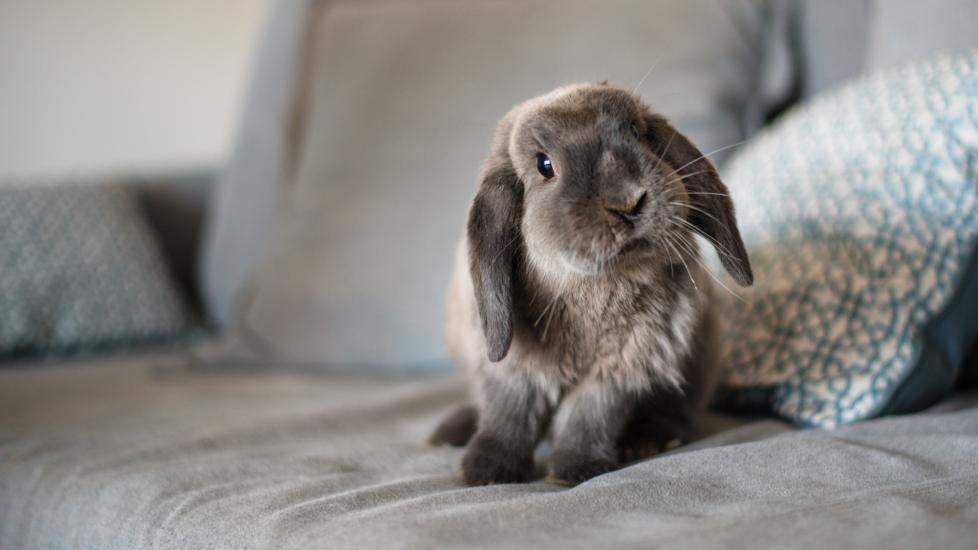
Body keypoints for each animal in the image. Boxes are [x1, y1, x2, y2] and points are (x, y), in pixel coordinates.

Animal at [429, 82, 753, 486]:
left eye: (640, 134)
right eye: (544, 165)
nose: (628, 201)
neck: (593, 287)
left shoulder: (619, 370)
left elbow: (589, 416)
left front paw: (574, 470)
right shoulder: (513, 369)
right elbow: (508, 414)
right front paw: (484, 471)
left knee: (677, 411)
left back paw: (647, 441)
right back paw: (449, 433)